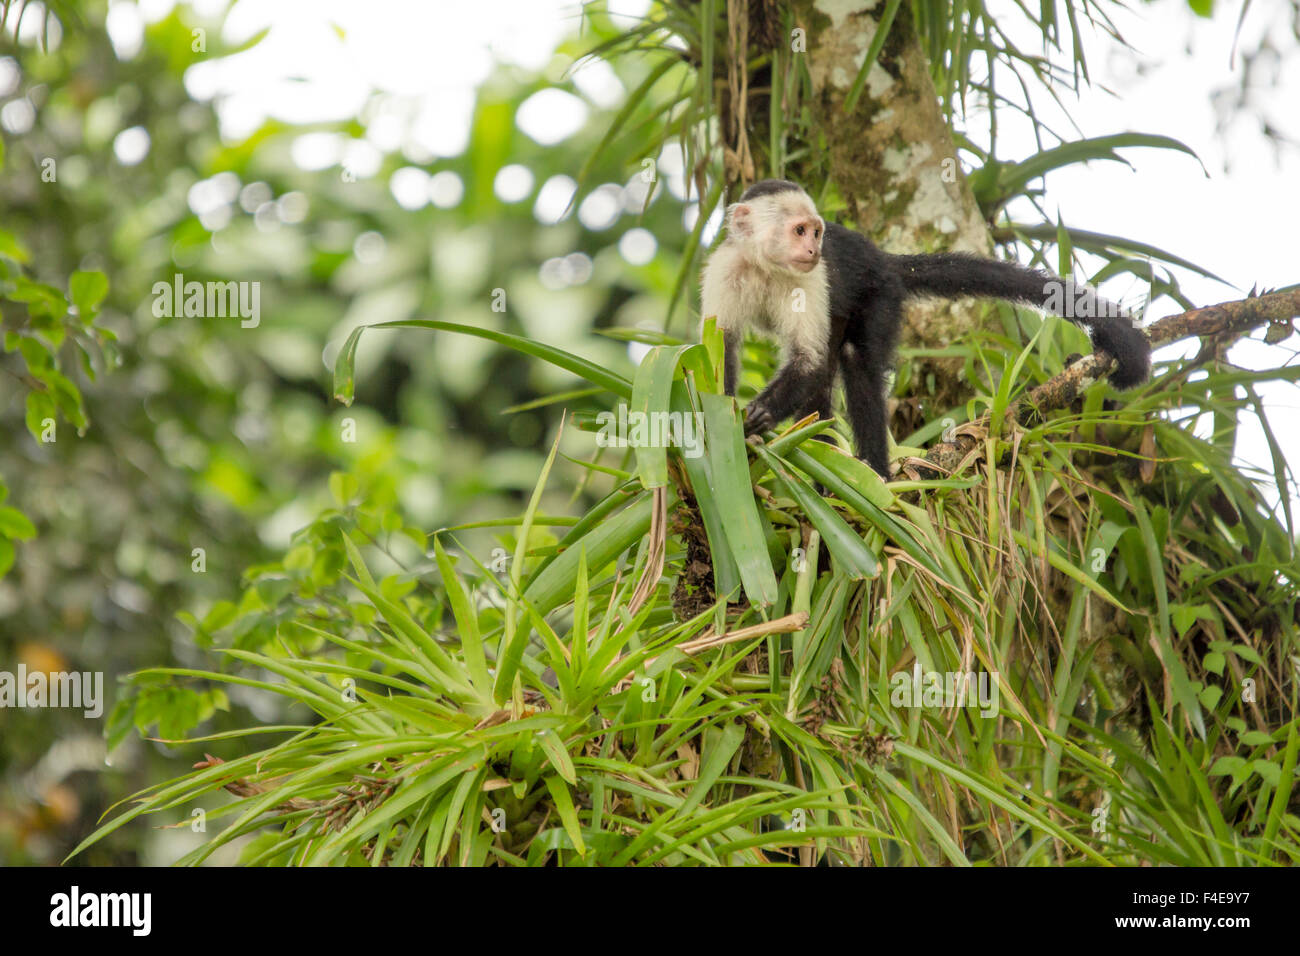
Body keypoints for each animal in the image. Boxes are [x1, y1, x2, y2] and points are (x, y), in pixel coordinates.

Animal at [699, 179, 1151, 478]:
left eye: (815, 231)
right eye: (798, 231)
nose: (813, 249)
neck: (767, 266)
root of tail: (882, 258)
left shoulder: (810, 280)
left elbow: (807, 362)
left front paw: (760, 414)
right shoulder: (725, 268)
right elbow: (722, 346)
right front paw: (722, 411)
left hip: (879, 294)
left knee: (854, 361)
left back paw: (875, 474)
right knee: (824, 384)